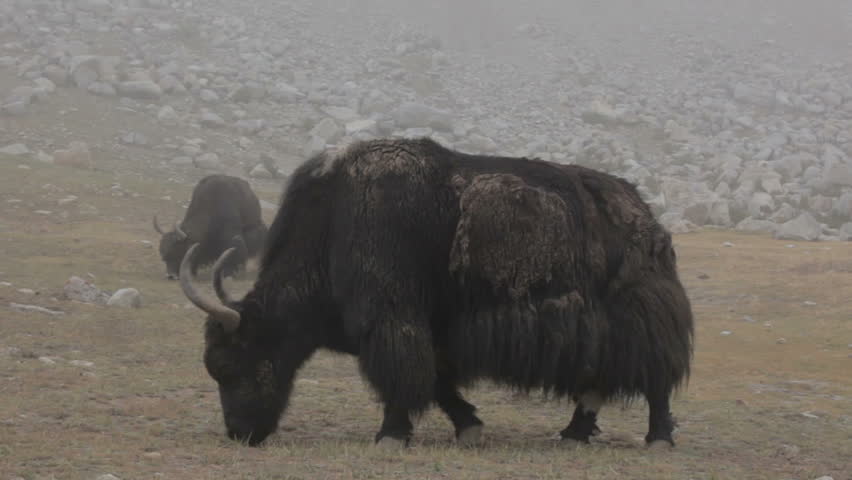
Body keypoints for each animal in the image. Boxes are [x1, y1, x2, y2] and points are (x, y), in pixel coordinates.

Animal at [177, 137, 695, 450]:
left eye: (230, 363)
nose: (239, 433)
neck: (332, 230)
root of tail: (647, 217)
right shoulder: (433, 327)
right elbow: (438, 380)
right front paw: (470, 428)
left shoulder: (390, 316)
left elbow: (402, 372)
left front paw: (390, 434)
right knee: (600, 379)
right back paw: (573, 433)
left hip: (638, 313)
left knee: (655, 374)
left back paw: (658, 438)